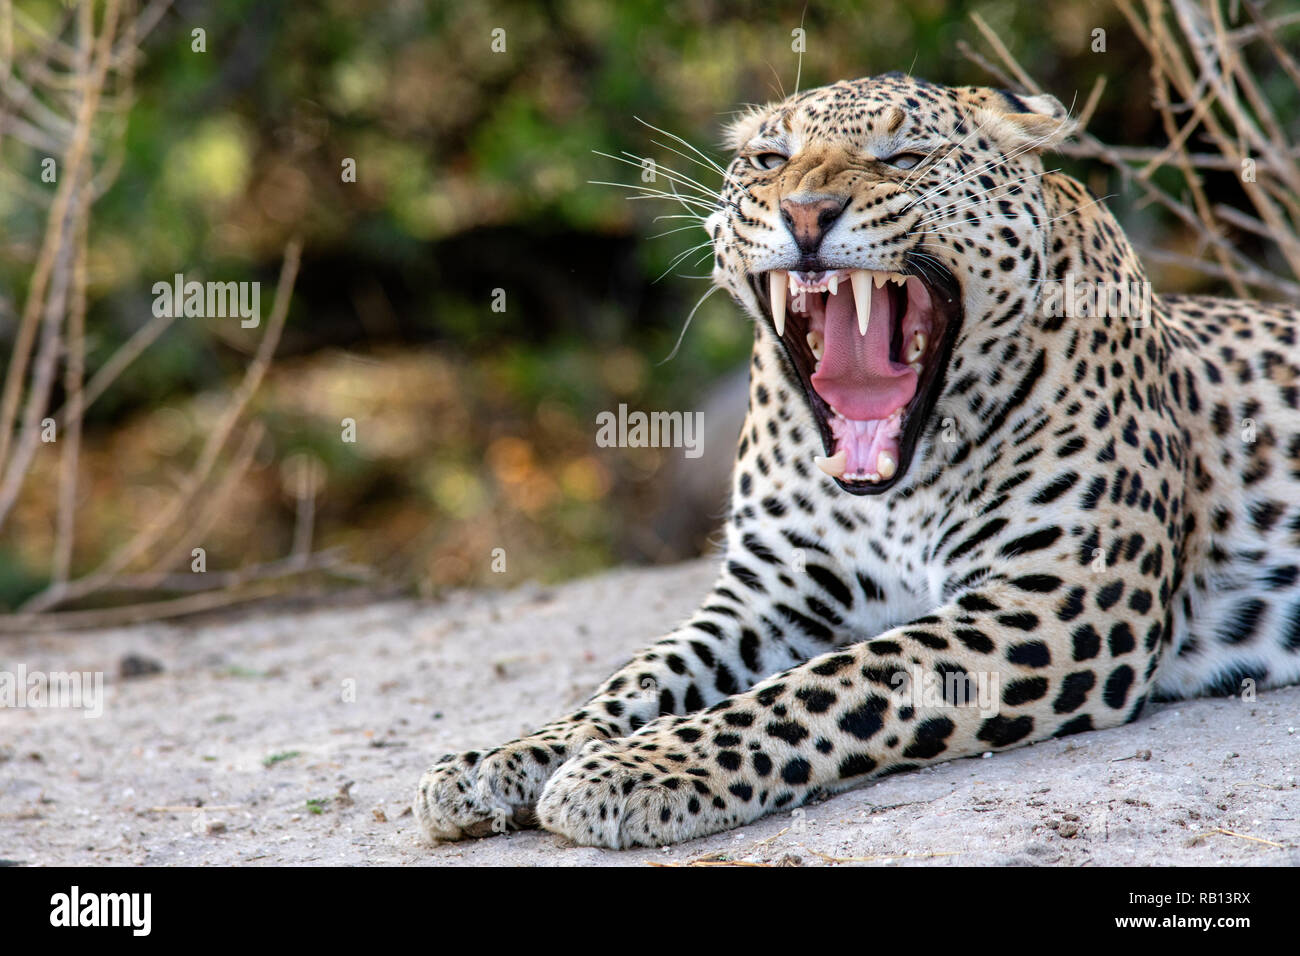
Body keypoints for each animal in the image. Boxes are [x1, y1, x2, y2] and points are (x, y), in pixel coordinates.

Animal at [414, 72, 1300, 849]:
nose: (807, 213)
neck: (895, 492)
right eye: (768, 159)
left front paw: (637, 769)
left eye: (903, 158)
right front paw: (508, 758)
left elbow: (834, 683)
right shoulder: (773, 593)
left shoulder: (1058, 596)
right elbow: (641, 674)